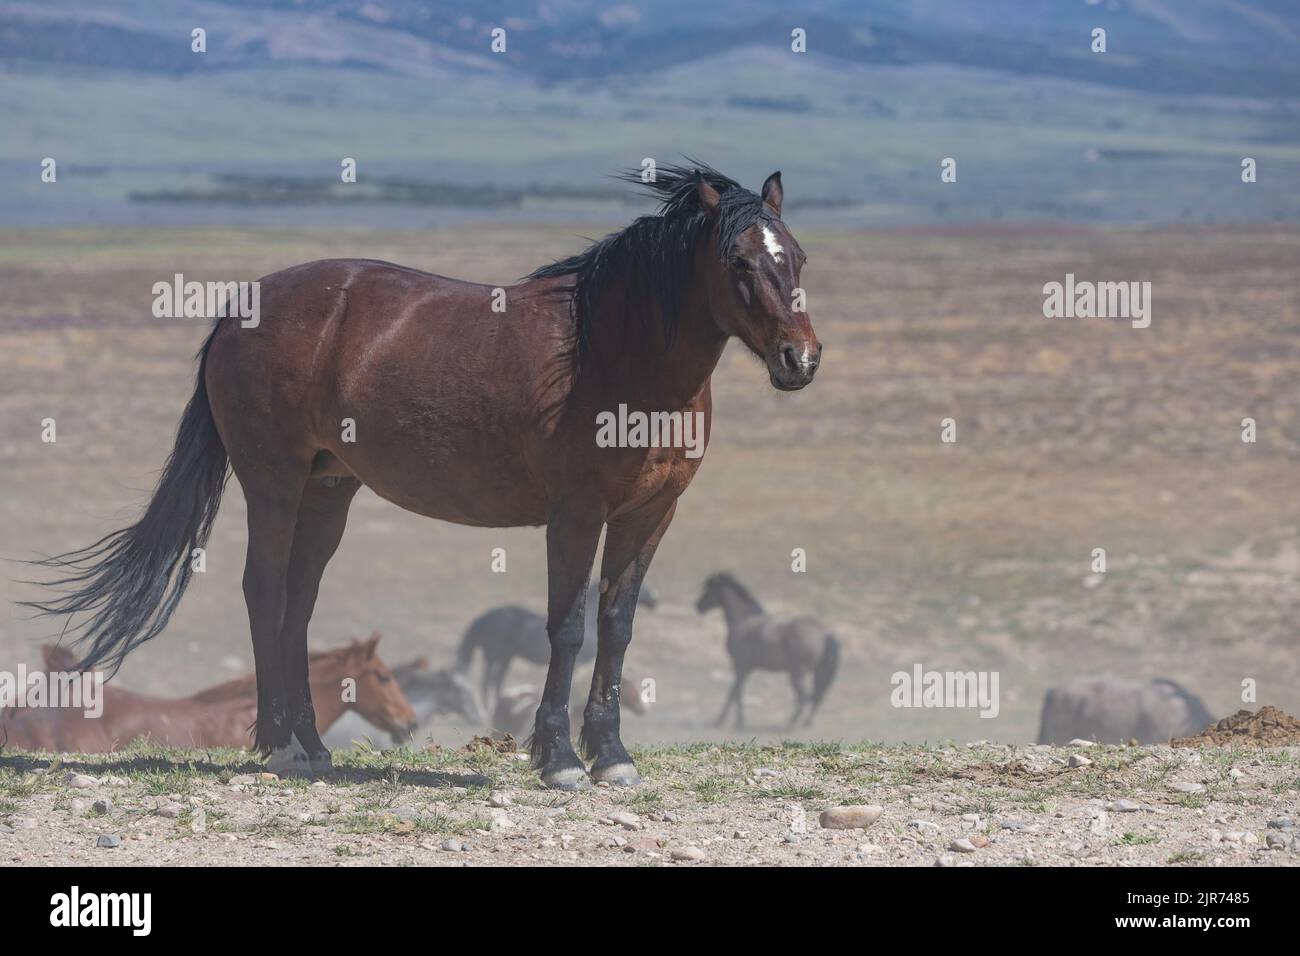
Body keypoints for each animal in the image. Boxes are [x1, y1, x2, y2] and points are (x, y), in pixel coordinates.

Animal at [456, 582, 658, 709]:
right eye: (644, 587)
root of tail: (483, 618)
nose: (655, 601)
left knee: (496, 680)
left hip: (506, 657)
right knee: (487, 680)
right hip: (495, 655)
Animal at [696, 573, 840, 730]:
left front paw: (733, 722)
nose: (698, 606)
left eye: (710, 590)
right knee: (815, 697)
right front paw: (728, 722)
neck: (743, 620)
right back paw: (805, 723)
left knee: (804, 698)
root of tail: (824, 634)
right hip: (812, 673)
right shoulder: (747, 668)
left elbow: (736, 692)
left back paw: (789, 725)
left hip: (797, 674)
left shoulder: (740, 665)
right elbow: (735, 692)